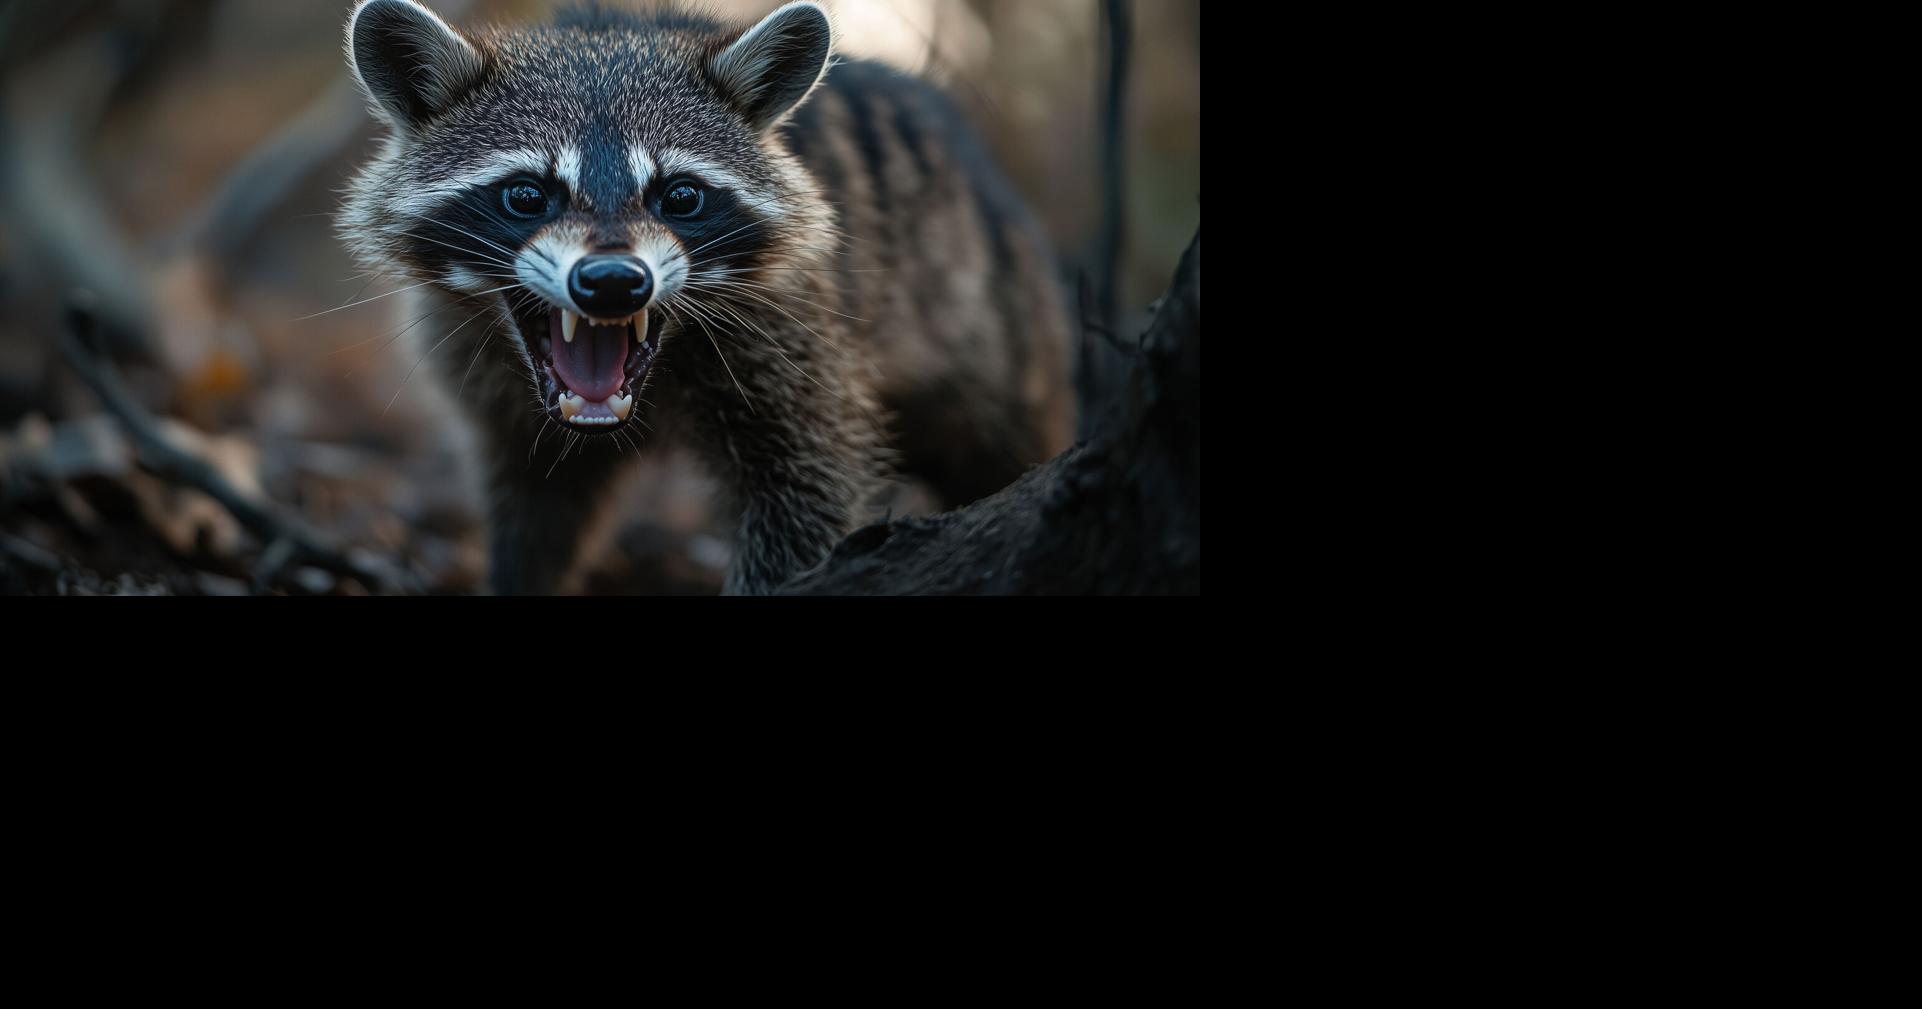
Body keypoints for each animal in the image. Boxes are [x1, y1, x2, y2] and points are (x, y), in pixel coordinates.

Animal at [337, 0, 1074, 594]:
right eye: (525, 194)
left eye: (681, 196)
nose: (613, 282)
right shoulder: (483, 373)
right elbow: (535, 504)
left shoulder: (791, 328)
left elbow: (808, 490)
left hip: (991, 321)